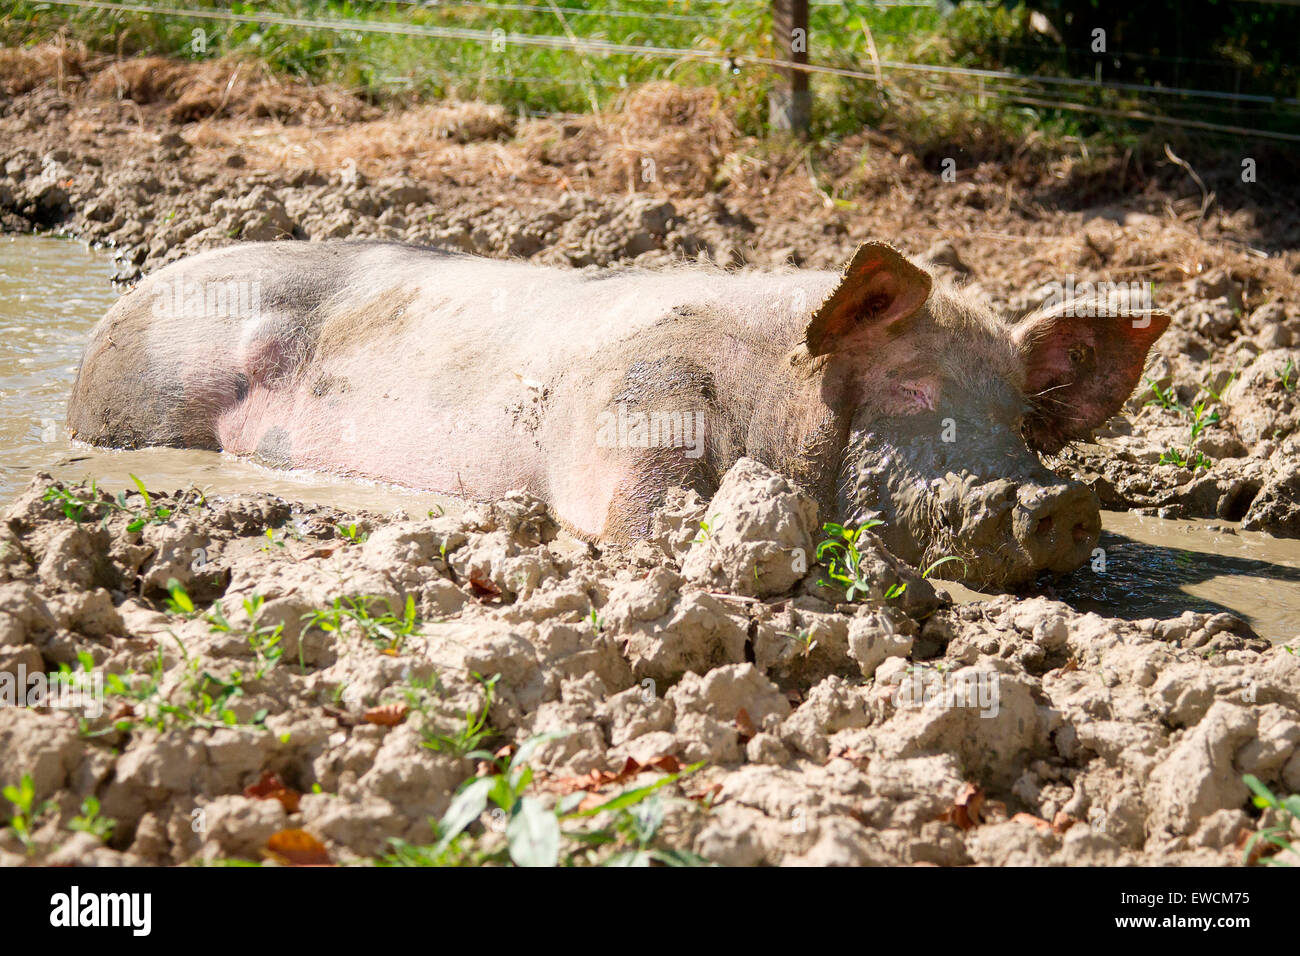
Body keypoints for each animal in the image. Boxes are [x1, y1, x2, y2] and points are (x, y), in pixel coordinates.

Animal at [66, 239, 1168, 588]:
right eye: (911, 387)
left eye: (1021, 415)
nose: (1057, 500)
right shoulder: (632, 403)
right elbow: (650, 510)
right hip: (140, 405)